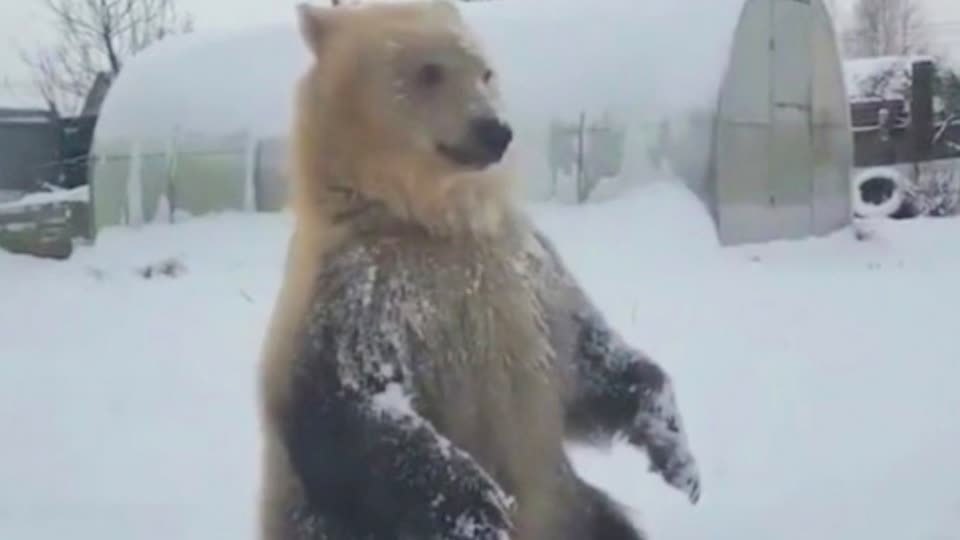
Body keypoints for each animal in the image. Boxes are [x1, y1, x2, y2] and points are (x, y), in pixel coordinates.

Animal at [257, 2, 701, 539]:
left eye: (485, 72)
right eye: (429, 71)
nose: (495, 131)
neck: (432, 218)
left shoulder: (527, 271)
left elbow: (590, 355)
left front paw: (675, 450)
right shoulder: (362, 289)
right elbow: (356, 400)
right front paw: (480, 509)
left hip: (569, 506)